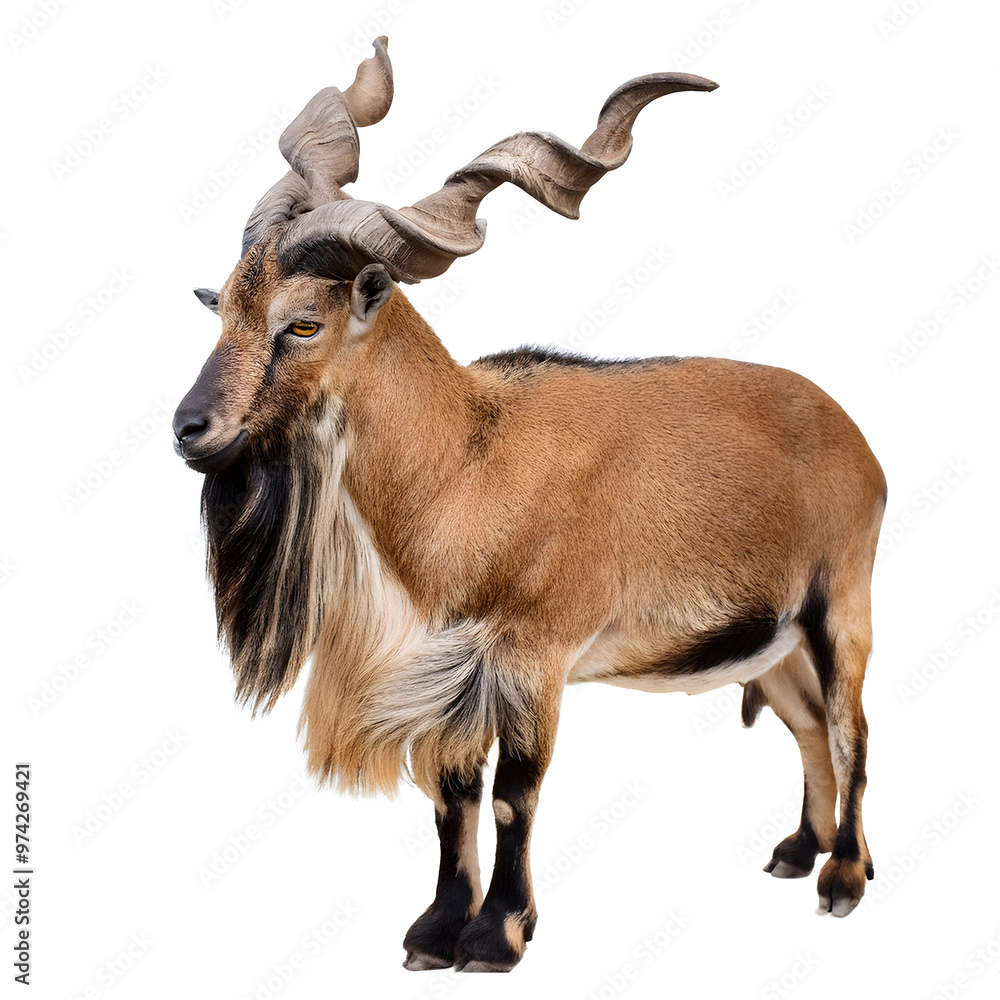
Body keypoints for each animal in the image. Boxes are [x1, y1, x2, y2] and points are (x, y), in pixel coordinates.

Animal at [173, 38, 885, 973]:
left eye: (301, 324)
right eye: (222, 307)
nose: (189, 429)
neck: (469, 463)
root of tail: (857, 440)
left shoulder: (533, 656)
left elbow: (514, 795)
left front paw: (496, 935)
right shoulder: (451, 672)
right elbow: (453, 797)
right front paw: (434, 933)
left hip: (841, 604)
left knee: (850, 731)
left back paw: (844, 879)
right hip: (778, 635)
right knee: (805, 726)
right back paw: (799, 851)